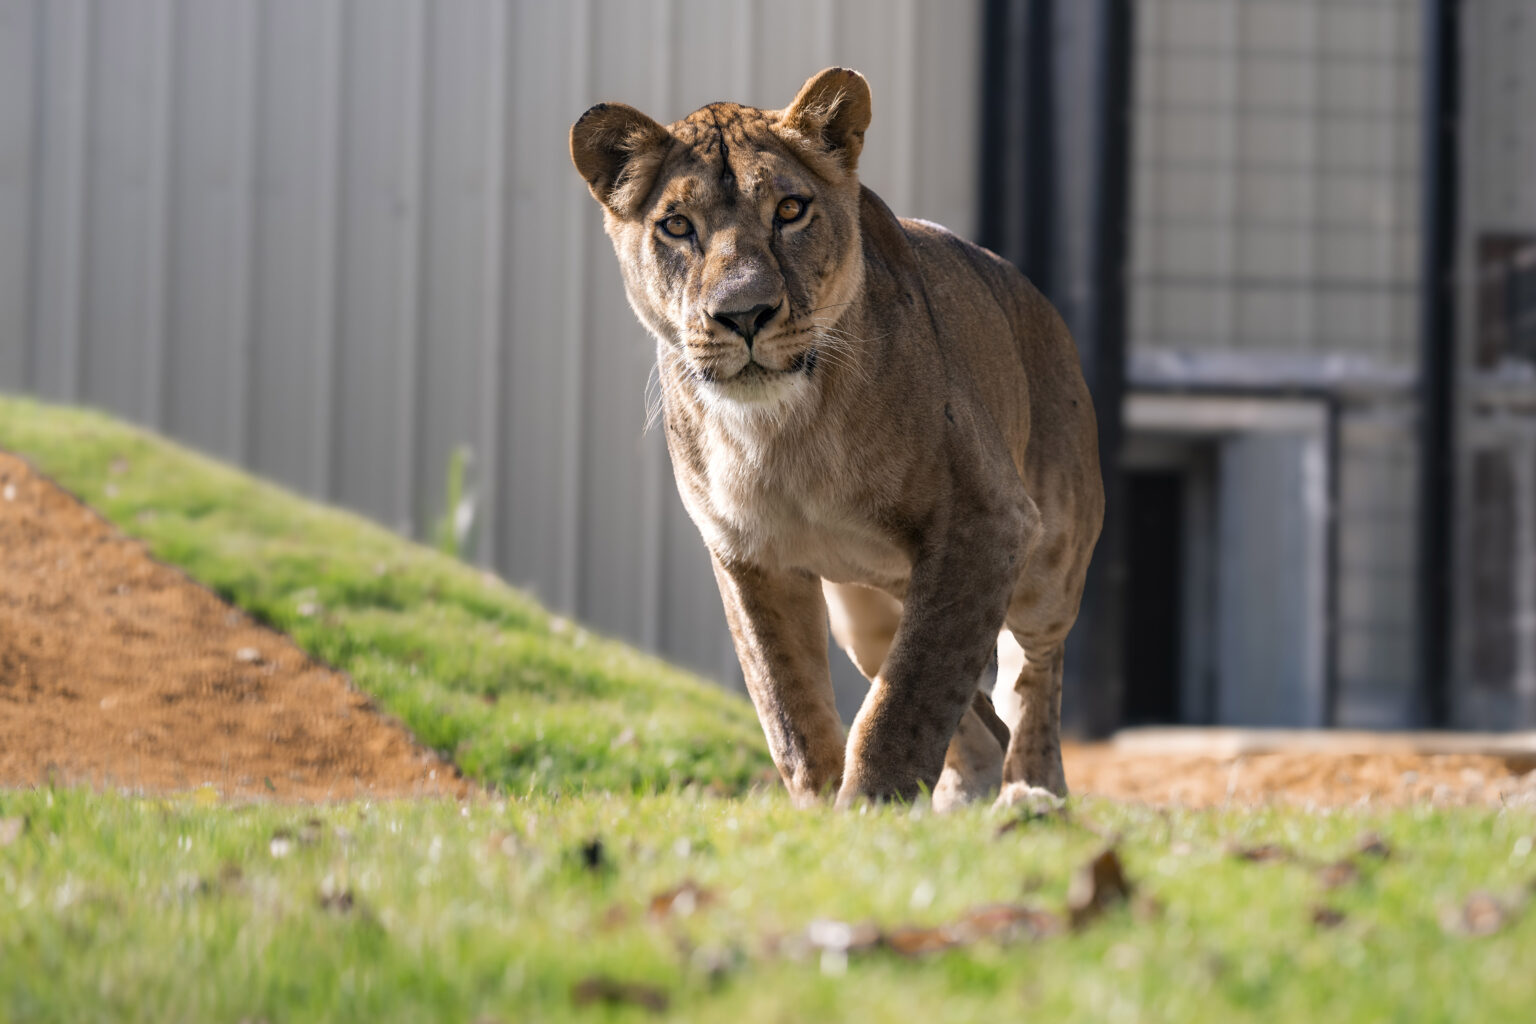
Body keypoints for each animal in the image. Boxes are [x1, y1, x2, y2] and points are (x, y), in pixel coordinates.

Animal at [570, 67, 1103, 810]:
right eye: (676, 226)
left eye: (790, 210)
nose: (744, 314)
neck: (780, 435)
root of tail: (1038, 302)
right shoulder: (749, 557)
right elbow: (787, 701)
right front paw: (824, 812)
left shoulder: (987, 522)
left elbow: (911, 695)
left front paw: (870, 803)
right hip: (870, 609)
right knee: (967, 709)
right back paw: (959, 802)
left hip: (1044, 565)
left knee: (1032, 675)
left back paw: (1033, 794)